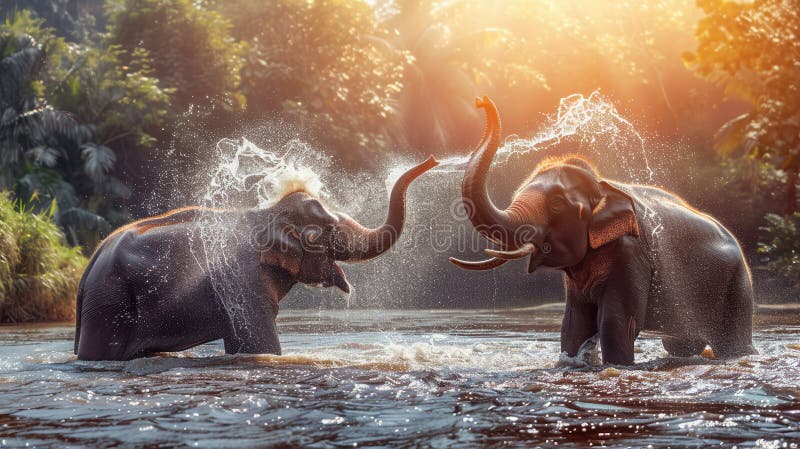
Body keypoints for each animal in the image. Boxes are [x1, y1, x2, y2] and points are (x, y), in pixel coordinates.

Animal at [74, 156, 438, 360]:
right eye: (322, 232)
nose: (433, 160)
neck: (265, 213)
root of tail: (87, 270)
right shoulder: (242, 280)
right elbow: (260, 346)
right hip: (109, 302)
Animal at [449, 96, 756, 365]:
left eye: (557, 203)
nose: (480, 100)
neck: (601, 185)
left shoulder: (632, 254)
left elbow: (615, 322)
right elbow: (574, 323)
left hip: (737, 285)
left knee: (732, 343)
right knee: (681, 344)